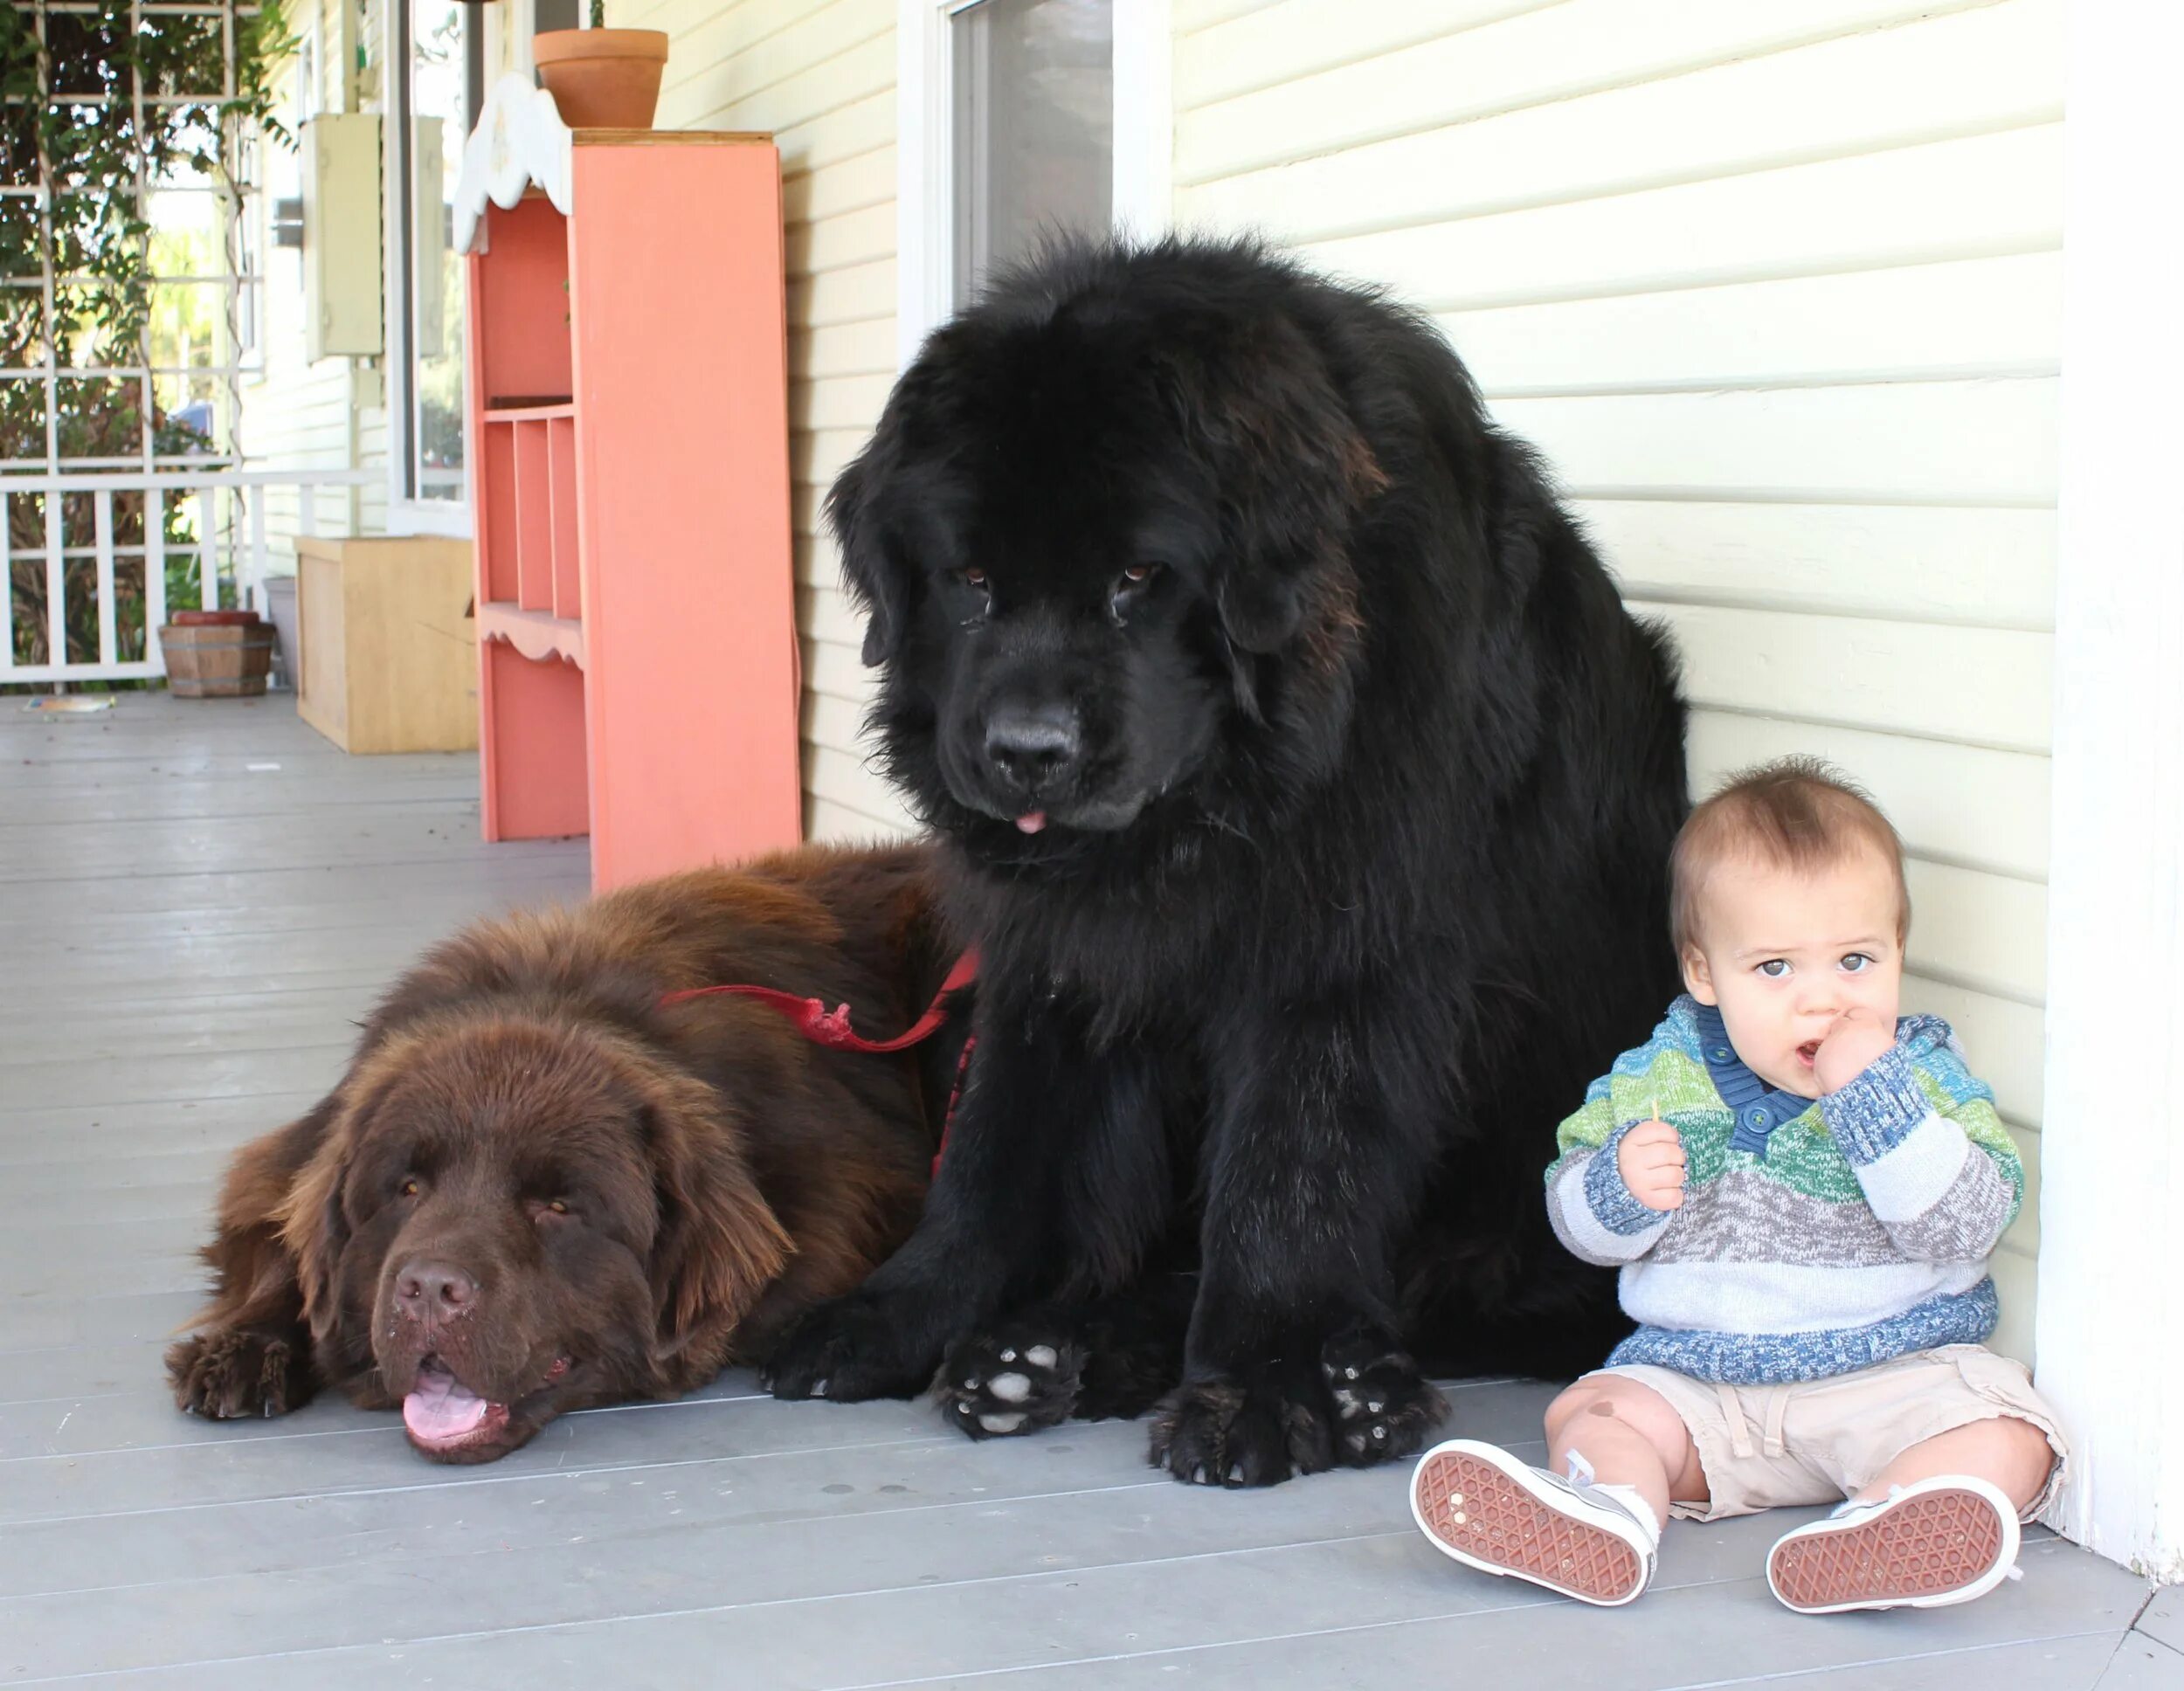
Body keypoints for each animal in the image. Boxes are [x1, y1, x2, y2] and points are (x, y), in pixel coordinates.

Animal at [162, 847, 965, 1467]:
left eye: (557, 1207)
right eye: (408, 1189)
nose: (429, 1290)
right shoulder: (294, 1153)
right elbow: (277, 1245)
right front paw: (242, 1349)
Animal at [769, 234, 1686, 1485]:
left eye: (1136, 577)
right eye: (970, 582)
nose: (1027, 753)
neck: (1223, 806)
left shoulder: (1338, 950)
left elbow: (1285, 1175)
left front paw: (1261, 1384)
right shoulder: (1054, 955)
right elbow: (999, 1142)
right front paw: (900, 1310)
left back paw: (1330, 1386)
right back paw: (1033, 1358)